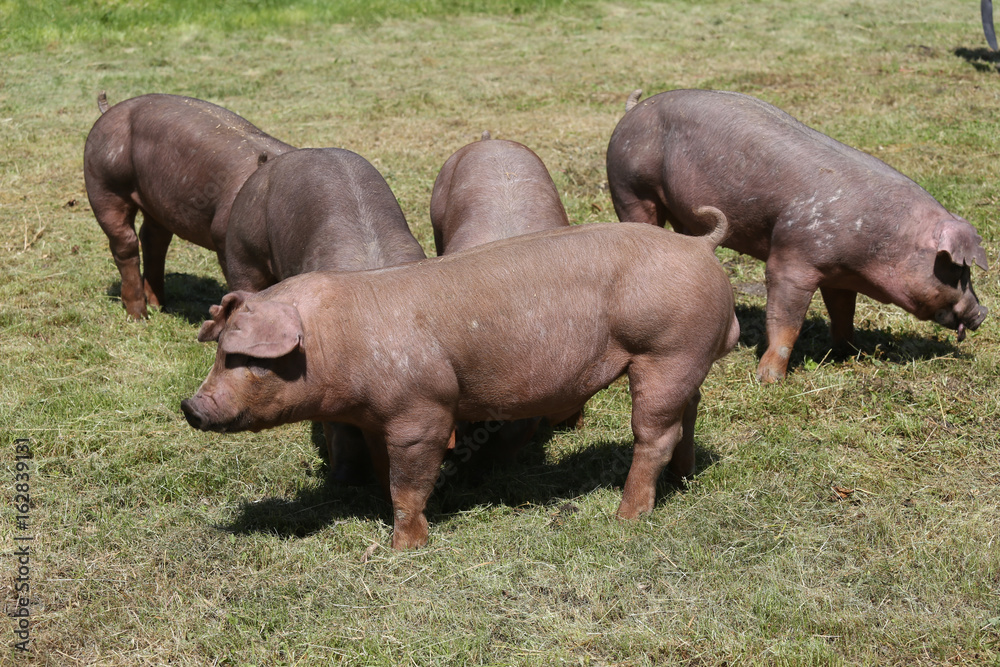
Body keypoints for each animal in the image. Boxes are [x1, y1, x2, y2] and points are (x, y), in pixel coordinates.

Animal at [83, 92, 294, 319]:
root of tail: (111, 110)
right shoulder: (224, 241)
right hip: (103, 183)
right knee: (124, 242)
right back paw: (139, 316)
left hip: (155, 202)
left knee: (154, 239)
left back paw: (160, 307)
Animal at [181, 217, 740, 549]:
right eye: (220, 350)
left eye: (242, 356)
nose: (190, 406)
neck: (339, 339)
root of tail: (699, 244)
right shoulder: (376, 419)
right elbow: (385, 470)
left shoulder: (422, 410)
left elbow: (408, 482)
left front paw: (404, 547)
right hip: (688, 358)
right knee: (689, 414)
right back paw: (683, 481)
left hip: (666, 350)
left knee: (656, 433)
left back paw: (625, 518)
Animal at [606, 88, 990, 383]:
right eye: (957, 269)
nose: (982, 312)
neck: (883, 238)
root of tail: (633, 110)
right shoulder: (791, 259)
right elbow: (785, 322)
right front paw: (769, 381)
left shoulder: (840, 276)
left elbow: (843, 313)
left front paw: (849, 353)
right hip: (629, 187)